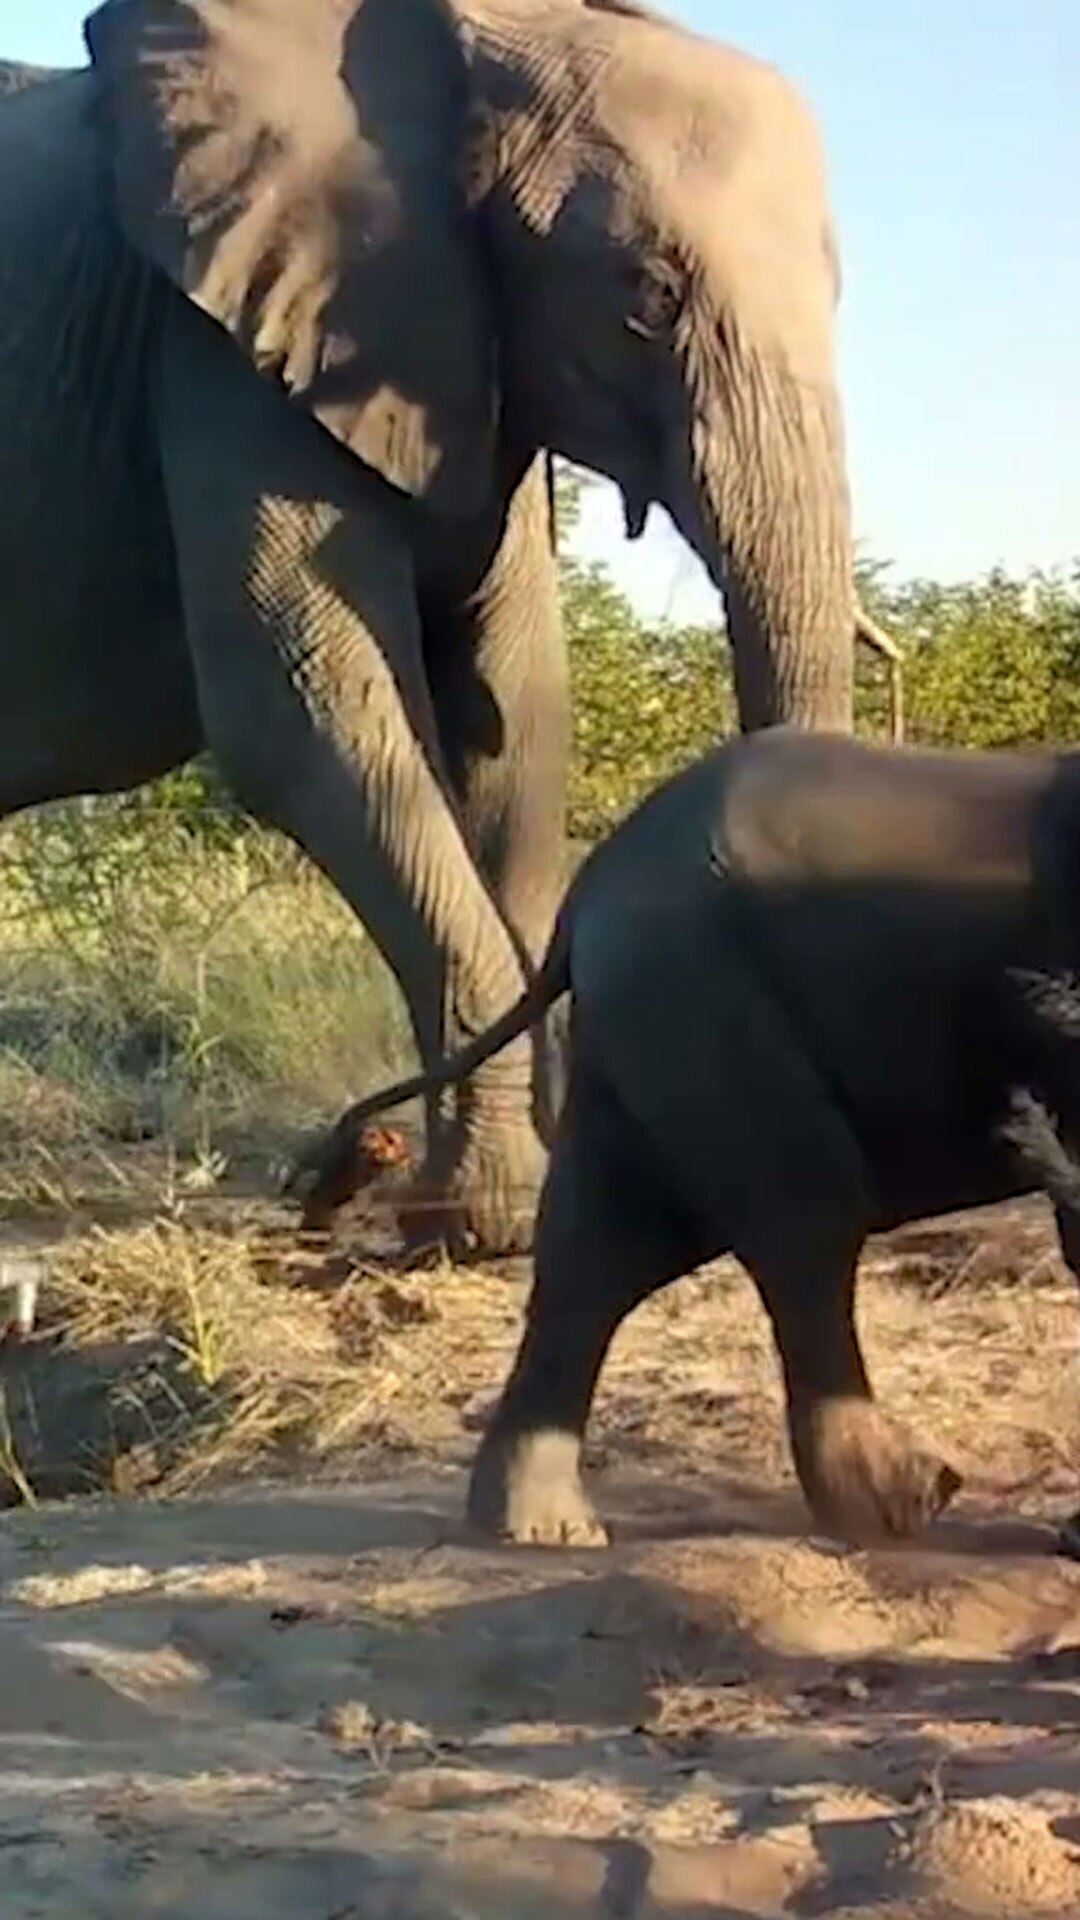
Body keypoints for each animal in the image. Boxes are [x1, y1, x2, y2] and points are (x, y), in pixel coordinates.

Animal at [0, 0, 896, 1260]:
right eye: (647, 294)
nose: (325, 1168)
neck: (480, 38)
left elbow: (509, 714)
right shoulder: (221, 348)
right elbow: (305, 707)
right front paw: (493, 1220)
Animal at [298, 727, 1080, 1553]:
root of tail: (589, 890)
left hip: (656, 1017)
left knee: (600, 1252)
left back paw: (541, 1532)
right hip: (702, 1001)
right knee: (806, 1223)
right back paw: (897, 1512)